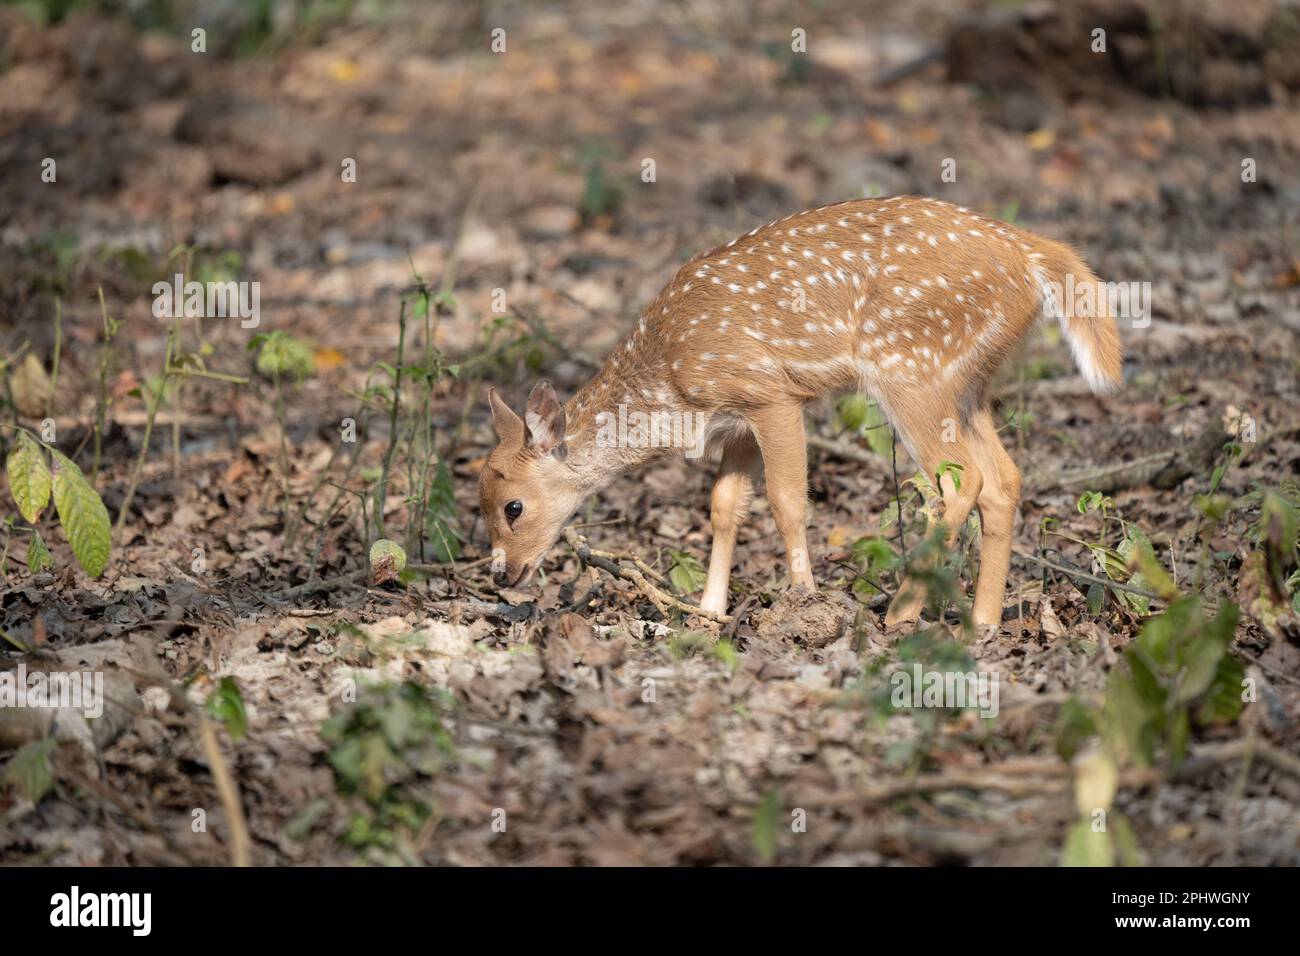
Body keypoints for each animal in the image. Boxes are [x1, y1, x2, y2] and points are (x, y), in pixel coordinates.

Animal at [479, 196, 1122, 628]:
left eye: (514, 507)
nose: (502, 575)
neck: (668, 385)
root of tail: (1031, 253)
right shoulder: (735, 424)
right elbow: (724, 507)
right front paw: (710, 610)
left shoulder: (769, 392)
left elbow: (787, 503)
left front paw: (804, 601)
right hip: (967, 385)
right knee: (1004, 479)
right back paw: (982, 623)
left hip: (914, 369)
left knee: (963, 481)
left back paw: (901, 613)